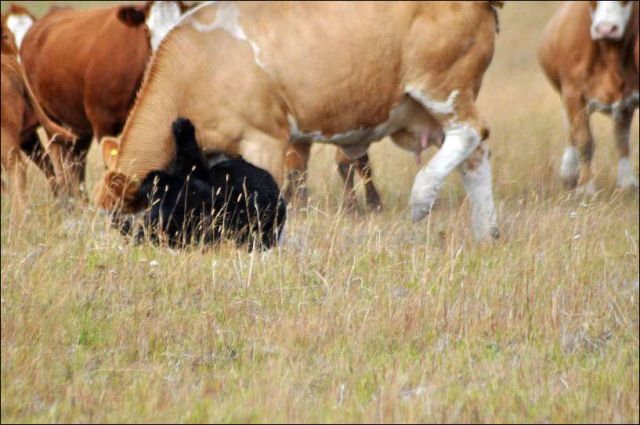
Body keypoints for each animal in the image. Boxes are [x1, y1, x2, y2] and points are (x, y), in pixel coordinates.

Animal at [19, 1, 190, 197]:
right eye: (146, 29)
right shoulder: (104, 123)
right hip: (49, 116)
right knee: (57, 154)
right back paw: (65, 198)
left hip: (77, 122)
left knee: (77, 158)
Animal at [539, 1, 639, 192]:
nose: (606, 29)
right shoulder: (573, 94)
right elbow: (584, 141)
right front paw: (586, 187)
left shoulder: (628, 100)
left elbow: (622, 139)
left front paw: (627, 183)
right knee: (571, 130)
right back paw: (570, 172)